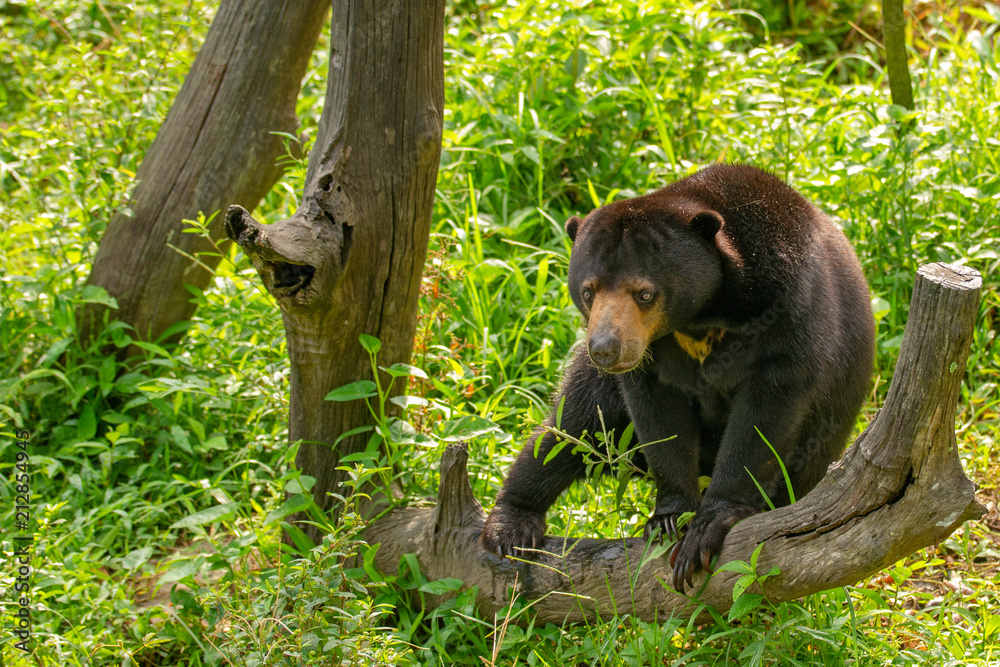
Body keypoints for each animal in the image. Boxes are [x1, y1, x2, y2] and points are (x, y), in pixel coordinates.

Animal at [480, 164, 875, 593]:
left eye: (644, 293)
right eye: (588, 292)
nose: (605, 349)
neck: (703, 317)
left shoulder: (790, 311)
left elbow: (765, 415)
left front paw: (706, 529)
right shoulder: (651, 355)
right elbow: (657, 418)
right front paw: (670, 517)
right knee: (570, 427)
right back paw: (510, 525)